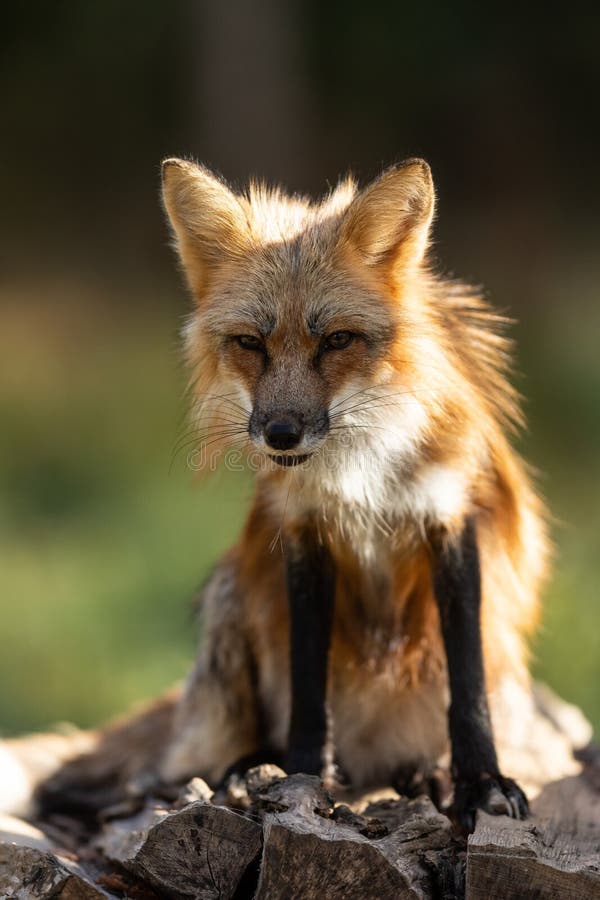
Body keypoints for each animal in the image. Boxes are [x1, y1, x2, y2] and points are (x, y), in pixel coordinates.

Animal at [1, 158, 552, 832]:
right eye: (250, 343)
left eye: (337, 341)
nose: (280, 433)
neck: (360, 474)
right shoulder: (304, 533)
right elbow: (308, 685)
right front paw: (303, 779)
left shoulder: (450, 519)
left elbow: (467, 684)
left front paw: (481, 783)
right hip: (226, 599)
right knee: (178, 763)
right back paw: (244, 771)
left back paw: (426, 773)